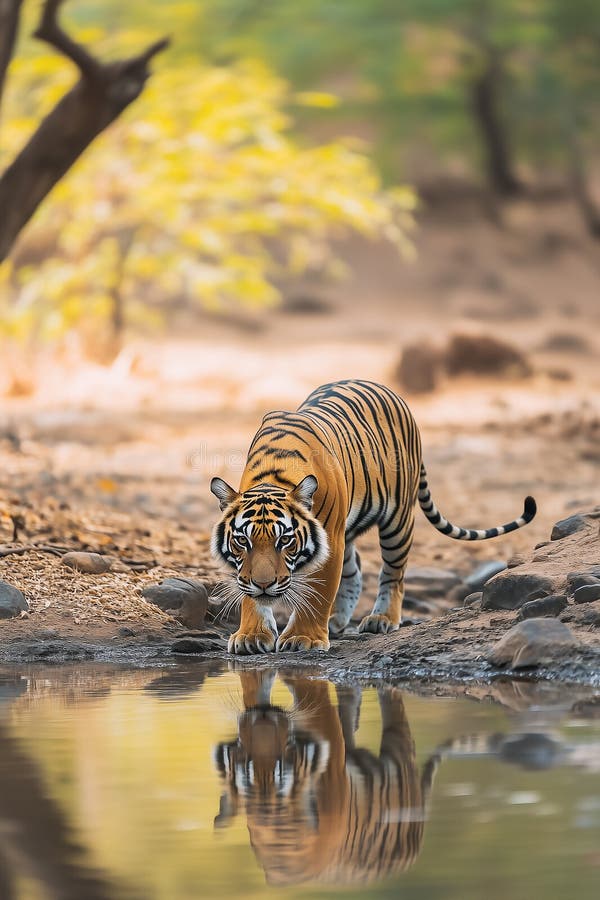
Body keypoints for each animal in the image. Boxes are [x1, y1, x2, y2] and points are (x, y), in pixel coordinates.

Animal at [211, 379, 536, 654]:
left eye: (285, 541)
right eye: (242, 541)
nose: (264, 585)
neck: (273, 476)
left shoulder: (330, 539)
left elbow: (318, 591)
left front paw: (303, 638)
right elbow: (249, 593)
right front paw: (251, 636)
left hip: (397, 522)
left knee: (394, 574)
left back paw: (381, 619)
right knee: (354, 568)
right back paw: (336, 621)